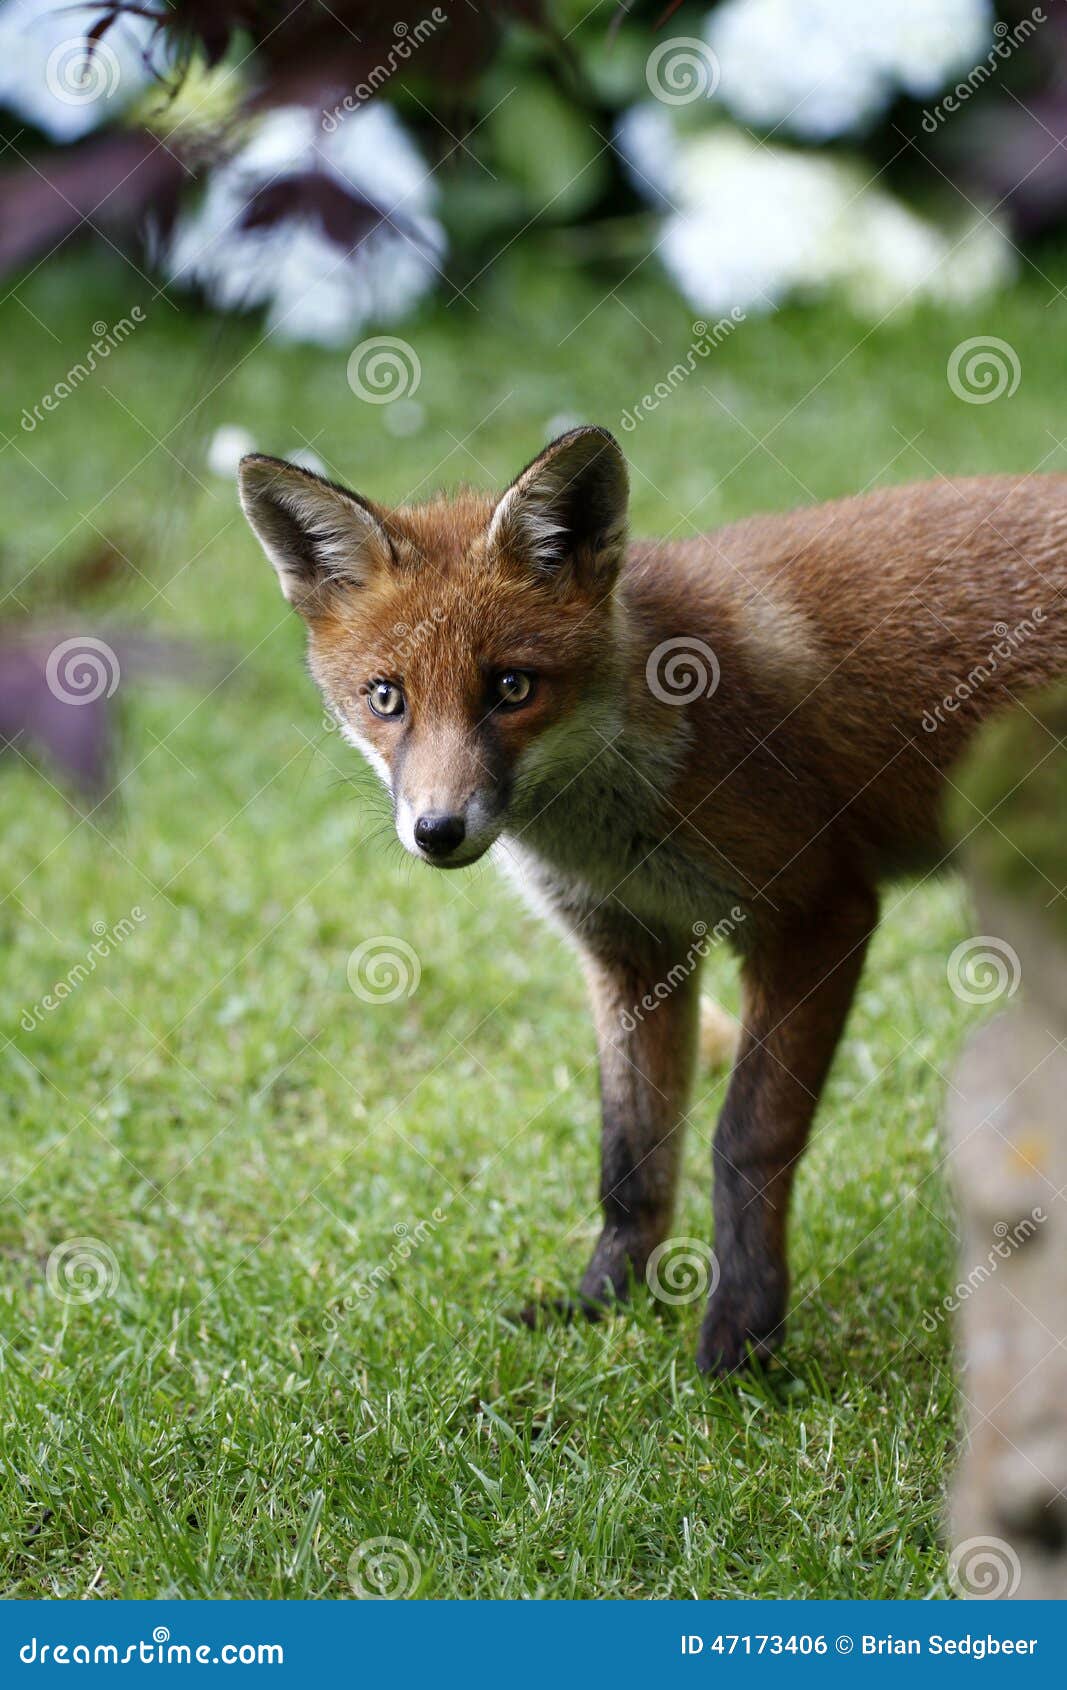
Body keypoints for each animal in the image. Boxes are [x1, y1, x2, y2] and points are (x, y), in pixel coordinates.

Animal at [238, 426, 1067, 1375]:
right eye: (387, 698)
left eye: (511, 688)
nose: (437, 831)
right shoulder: (634, 949)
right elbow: (629, 1156)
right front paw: (605, 1302)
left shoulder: (816, 915)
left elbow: (746, 1138)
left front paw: (743, 1338)